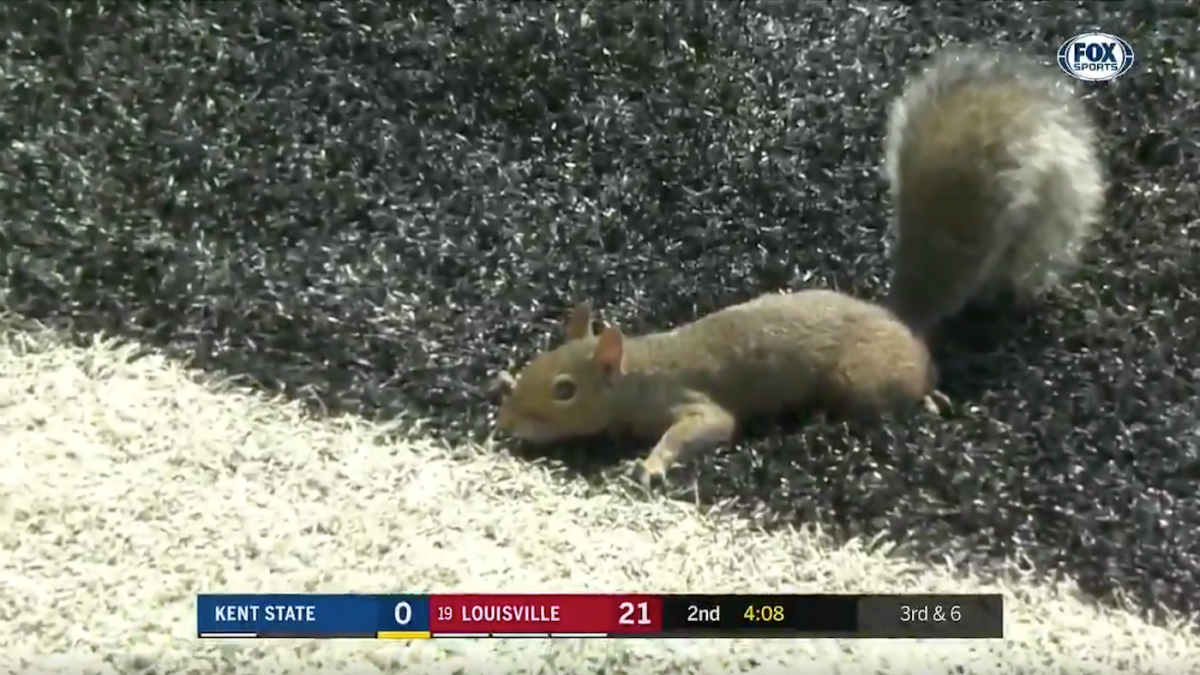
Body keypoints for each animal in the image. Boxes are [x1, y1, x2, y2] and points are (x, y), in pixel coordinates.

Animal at [493, 291, 948, 488]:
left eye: (564, 391)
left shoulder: (687, 396)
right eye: (535, 360)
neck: (638, 373)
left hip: (862, 378)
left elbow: (708, 425)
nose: (507, 423)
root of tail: (921, 354)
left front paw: (650, 464)